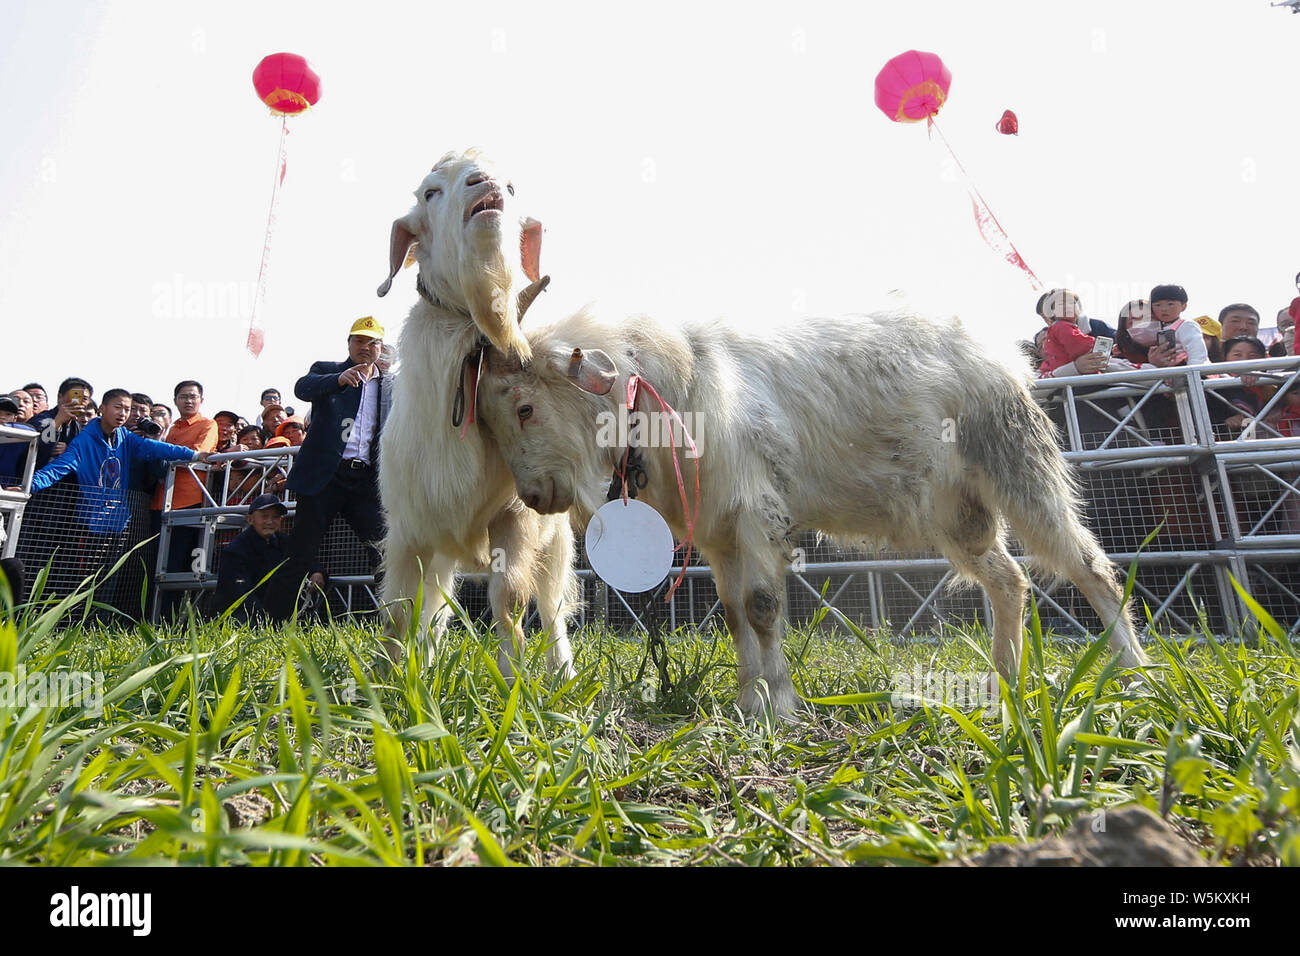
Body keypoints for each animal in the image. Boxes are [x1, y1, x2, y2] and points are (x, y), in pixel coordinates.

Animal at [375, 149, 578, 679]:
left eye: (512, 185)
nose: (483, 183)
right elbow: (399, 613)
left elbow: (510, 601)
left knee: (552, 607)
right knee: (433, 609)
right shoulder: (409, 530)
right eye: (430, 191)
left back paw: (565, 673)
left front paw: (511, 680)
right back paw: (426, 662)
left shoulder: (517, 516)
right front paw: (389, 683)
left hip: (555, 539)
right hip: (443, 549)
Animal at [475, 307, 1148, 717]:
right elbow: (734, 613)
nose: (532, 497)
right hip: (958, 511)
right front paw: (748, 702)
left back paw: (1135, 674)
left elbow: (762, 607)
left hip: (1017, 461)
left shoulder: (755, 510)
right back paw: (1003, 680)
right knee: (1009, 581)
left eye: (526, 408)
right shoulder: (719, 531)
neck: (668, 389)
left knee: (1090, 567)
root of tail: (997, 353)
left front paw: (781, 708)